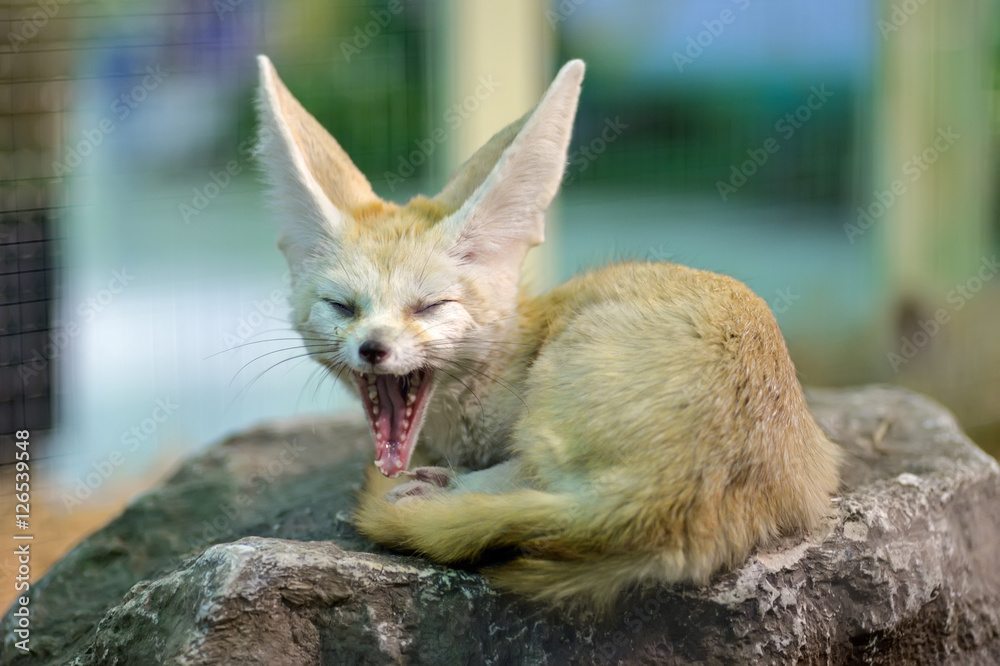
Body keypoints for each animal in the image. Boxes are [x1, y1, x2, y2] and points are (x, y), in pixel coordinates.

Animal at [255, 55, 841, 609]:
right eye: (341, 306)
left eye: (431, 306)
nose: (373, 348)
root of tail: (674, 488)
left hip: (557, 382)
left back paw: (451, 491)